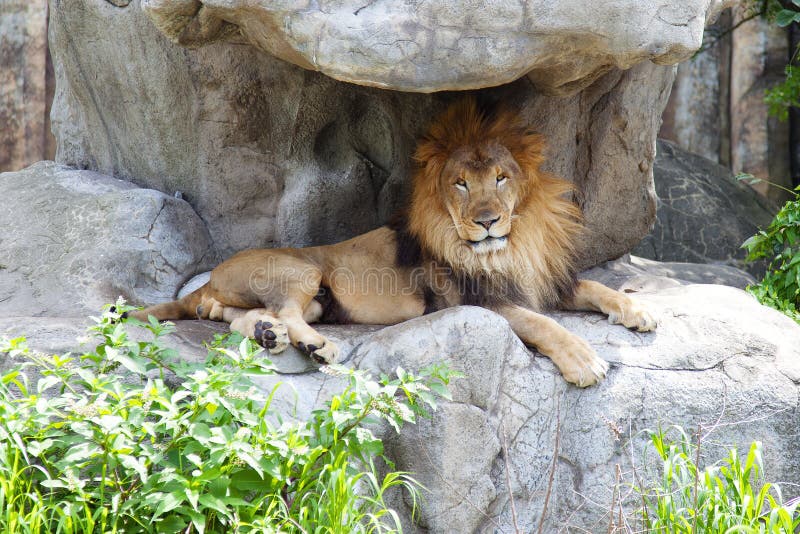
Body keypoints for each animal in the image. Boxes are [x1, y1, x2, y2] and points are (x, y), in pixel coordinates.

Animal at [129, 98, 656, 387]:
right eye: (460, 184)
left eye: (501, 178)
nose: (486, 222)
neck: (512, 246)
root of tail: (212, 275)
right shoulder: (480, 301)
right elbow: (544, 325)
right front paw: (585, 361)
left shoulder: (544, 278)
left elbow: (596, 287)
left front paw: (638, 310)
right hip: (302, 269)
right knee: (283, 309)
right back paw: (315, 345)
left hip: (298, 298)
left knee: (237, 315)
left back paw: (268, 334)